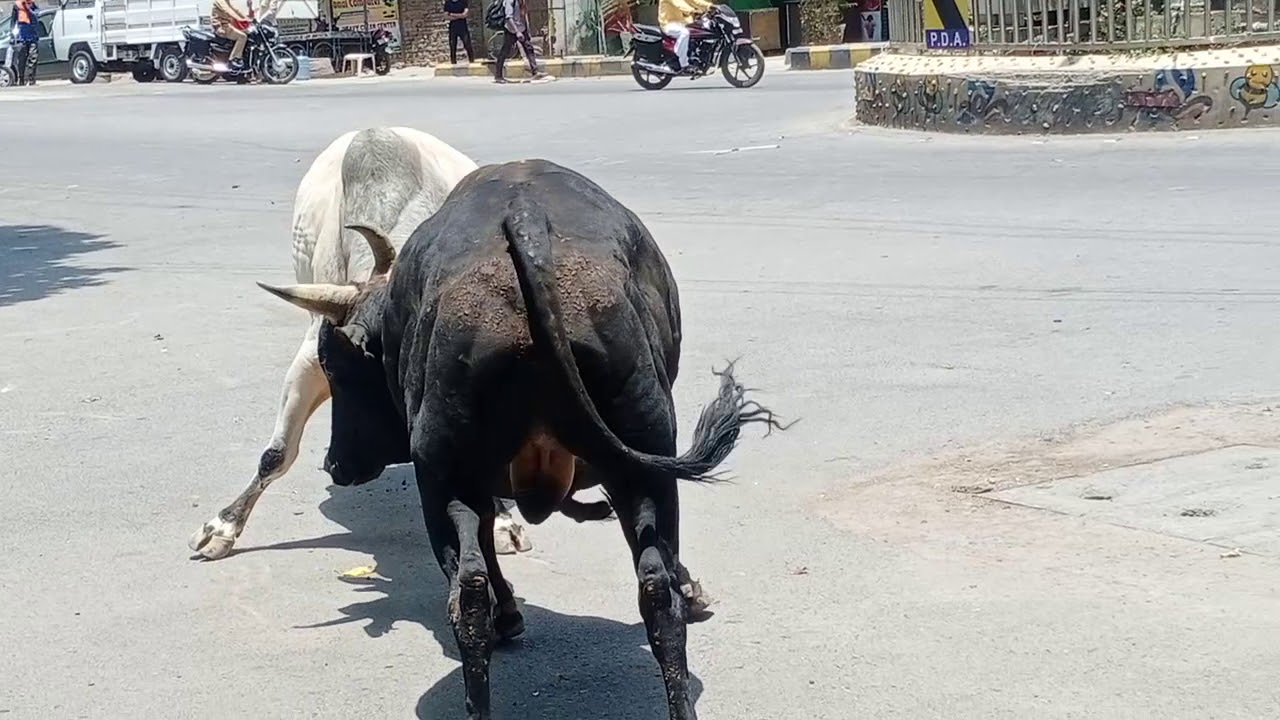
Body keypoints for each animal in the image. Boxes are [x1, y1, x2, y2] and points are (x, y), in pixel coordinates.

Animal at [187, 127, 537, 562]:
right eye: (336, 369)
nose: (340, 467)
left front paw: (503, 519)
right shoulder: (312, 356)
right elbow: (276, 454)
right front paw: (223, 525)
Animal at [256, 158, 786, 720]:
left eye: (337, 369)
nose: (336, 465)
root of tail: (525, 222)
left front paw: (510, 613)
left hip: (446, 477)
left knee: (468, 587)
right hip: (641, 463)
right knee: (652, 589)